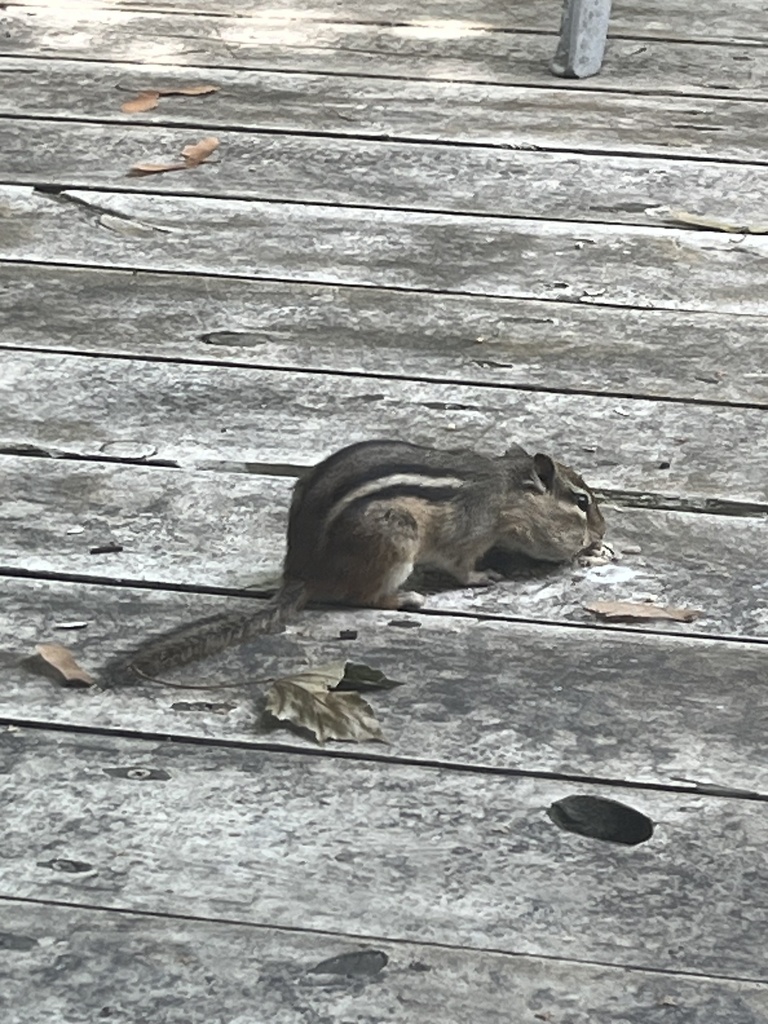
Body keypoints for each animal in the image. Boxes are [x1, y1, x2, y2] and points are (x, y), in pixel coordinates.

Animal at [106, 439, 605, 682]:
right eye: (581, 502)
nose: (601, 532)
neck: (503, 489)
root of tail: (304, 572)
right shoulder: (467, 534)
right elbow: (462, 566)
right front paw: (484, 575)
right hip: (395, 539)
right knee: (365, 597)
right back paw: (406, 598)